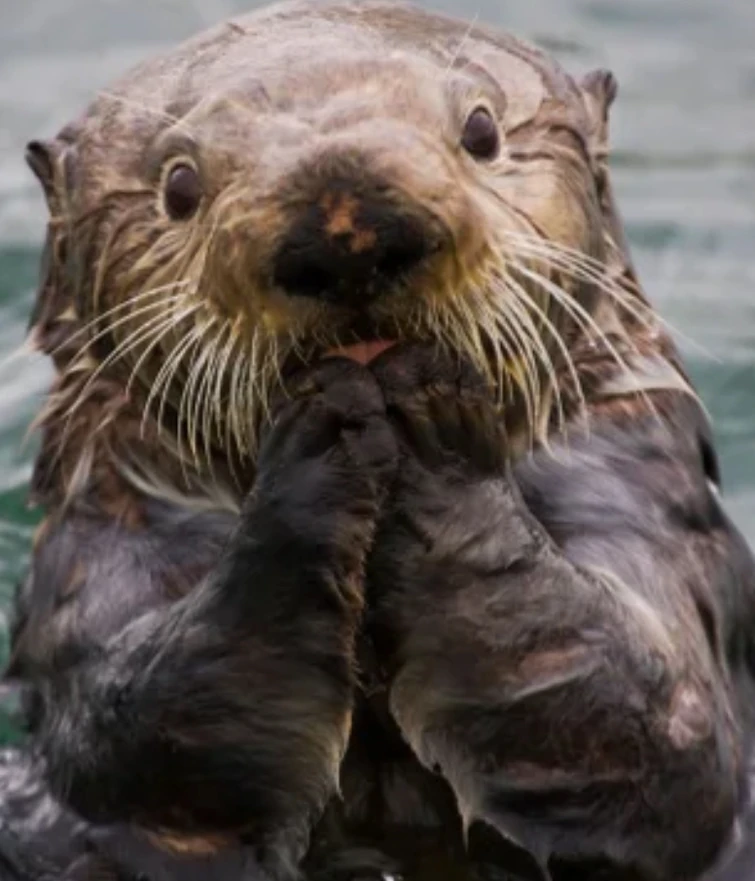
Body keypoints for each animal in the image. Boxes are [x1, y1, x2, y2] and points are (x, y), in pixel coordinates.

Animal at [1, 2, 754, 880]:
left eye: (480, 130)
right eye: (178, 186)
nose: (346, 226)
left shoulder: (644, 504)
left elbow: (658, 732)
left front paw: (432, 438)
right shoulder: (92, 565)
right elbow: (128, 738)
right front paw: (323, 436)